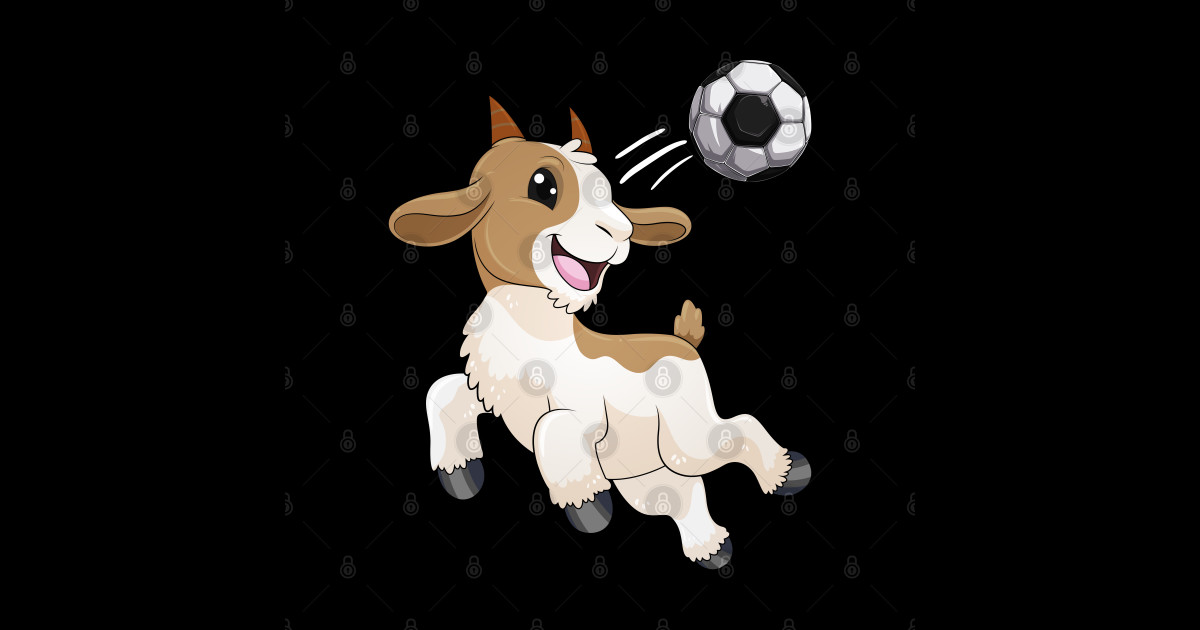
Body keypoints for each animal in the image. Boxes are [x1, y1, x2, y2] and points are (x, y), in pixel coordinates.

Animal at [390, 98, 810, 569]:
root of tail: (682, 341)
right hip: (647, 472)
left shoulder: (585, 416)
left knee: (735, 430)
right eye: (544, 186)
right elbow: (441, 391)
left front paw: (586, 505)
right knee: (679, 497)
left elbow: (550, 427)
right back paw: (712, 550)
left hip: (685, 436)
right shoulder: (492, 392)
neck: (540, 336)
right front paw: (460, 474)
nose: (621, 231)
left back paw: (788, 473)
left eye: (605, 191)